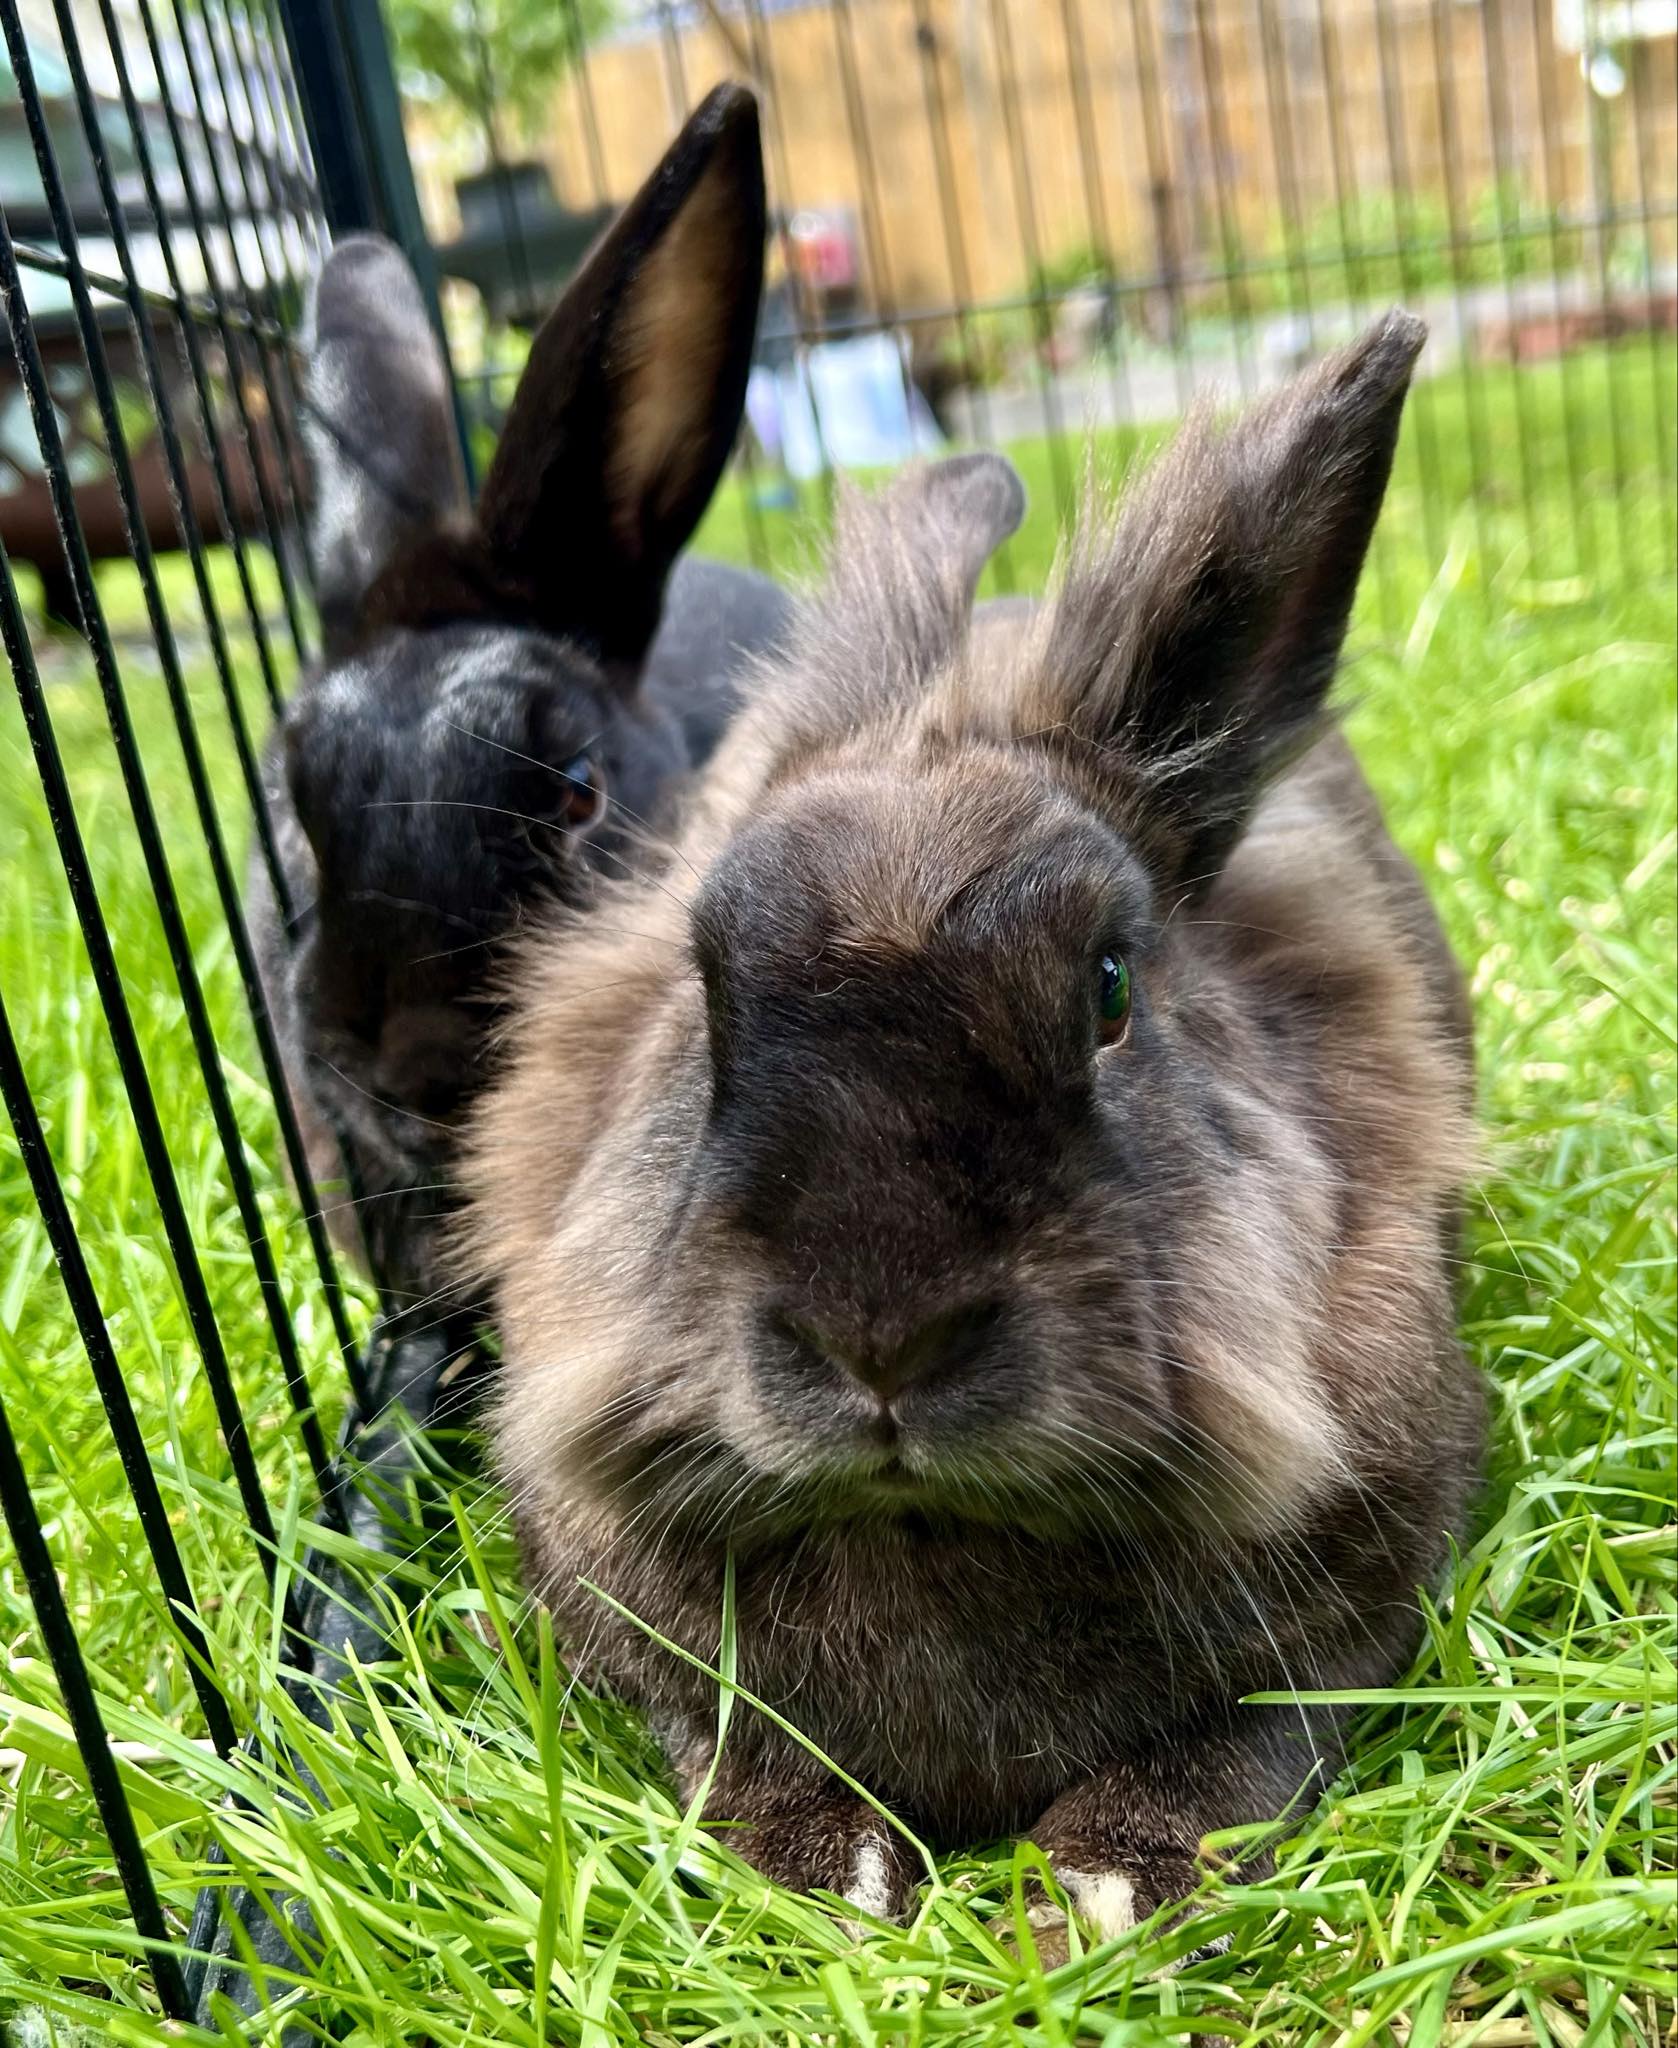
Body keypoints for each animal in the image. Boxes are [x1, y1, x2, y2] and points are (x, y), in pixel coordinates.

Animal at [456, 312, 1486, 1948]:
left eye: (1110, 989)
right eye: (702, 989)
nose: (882, 1341)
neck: (930, 1523)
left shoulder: (1366, 1592)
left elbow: (1247, 1744)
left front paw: (1096, 1888)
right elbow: (721, 1742)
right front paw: (833, 1876)